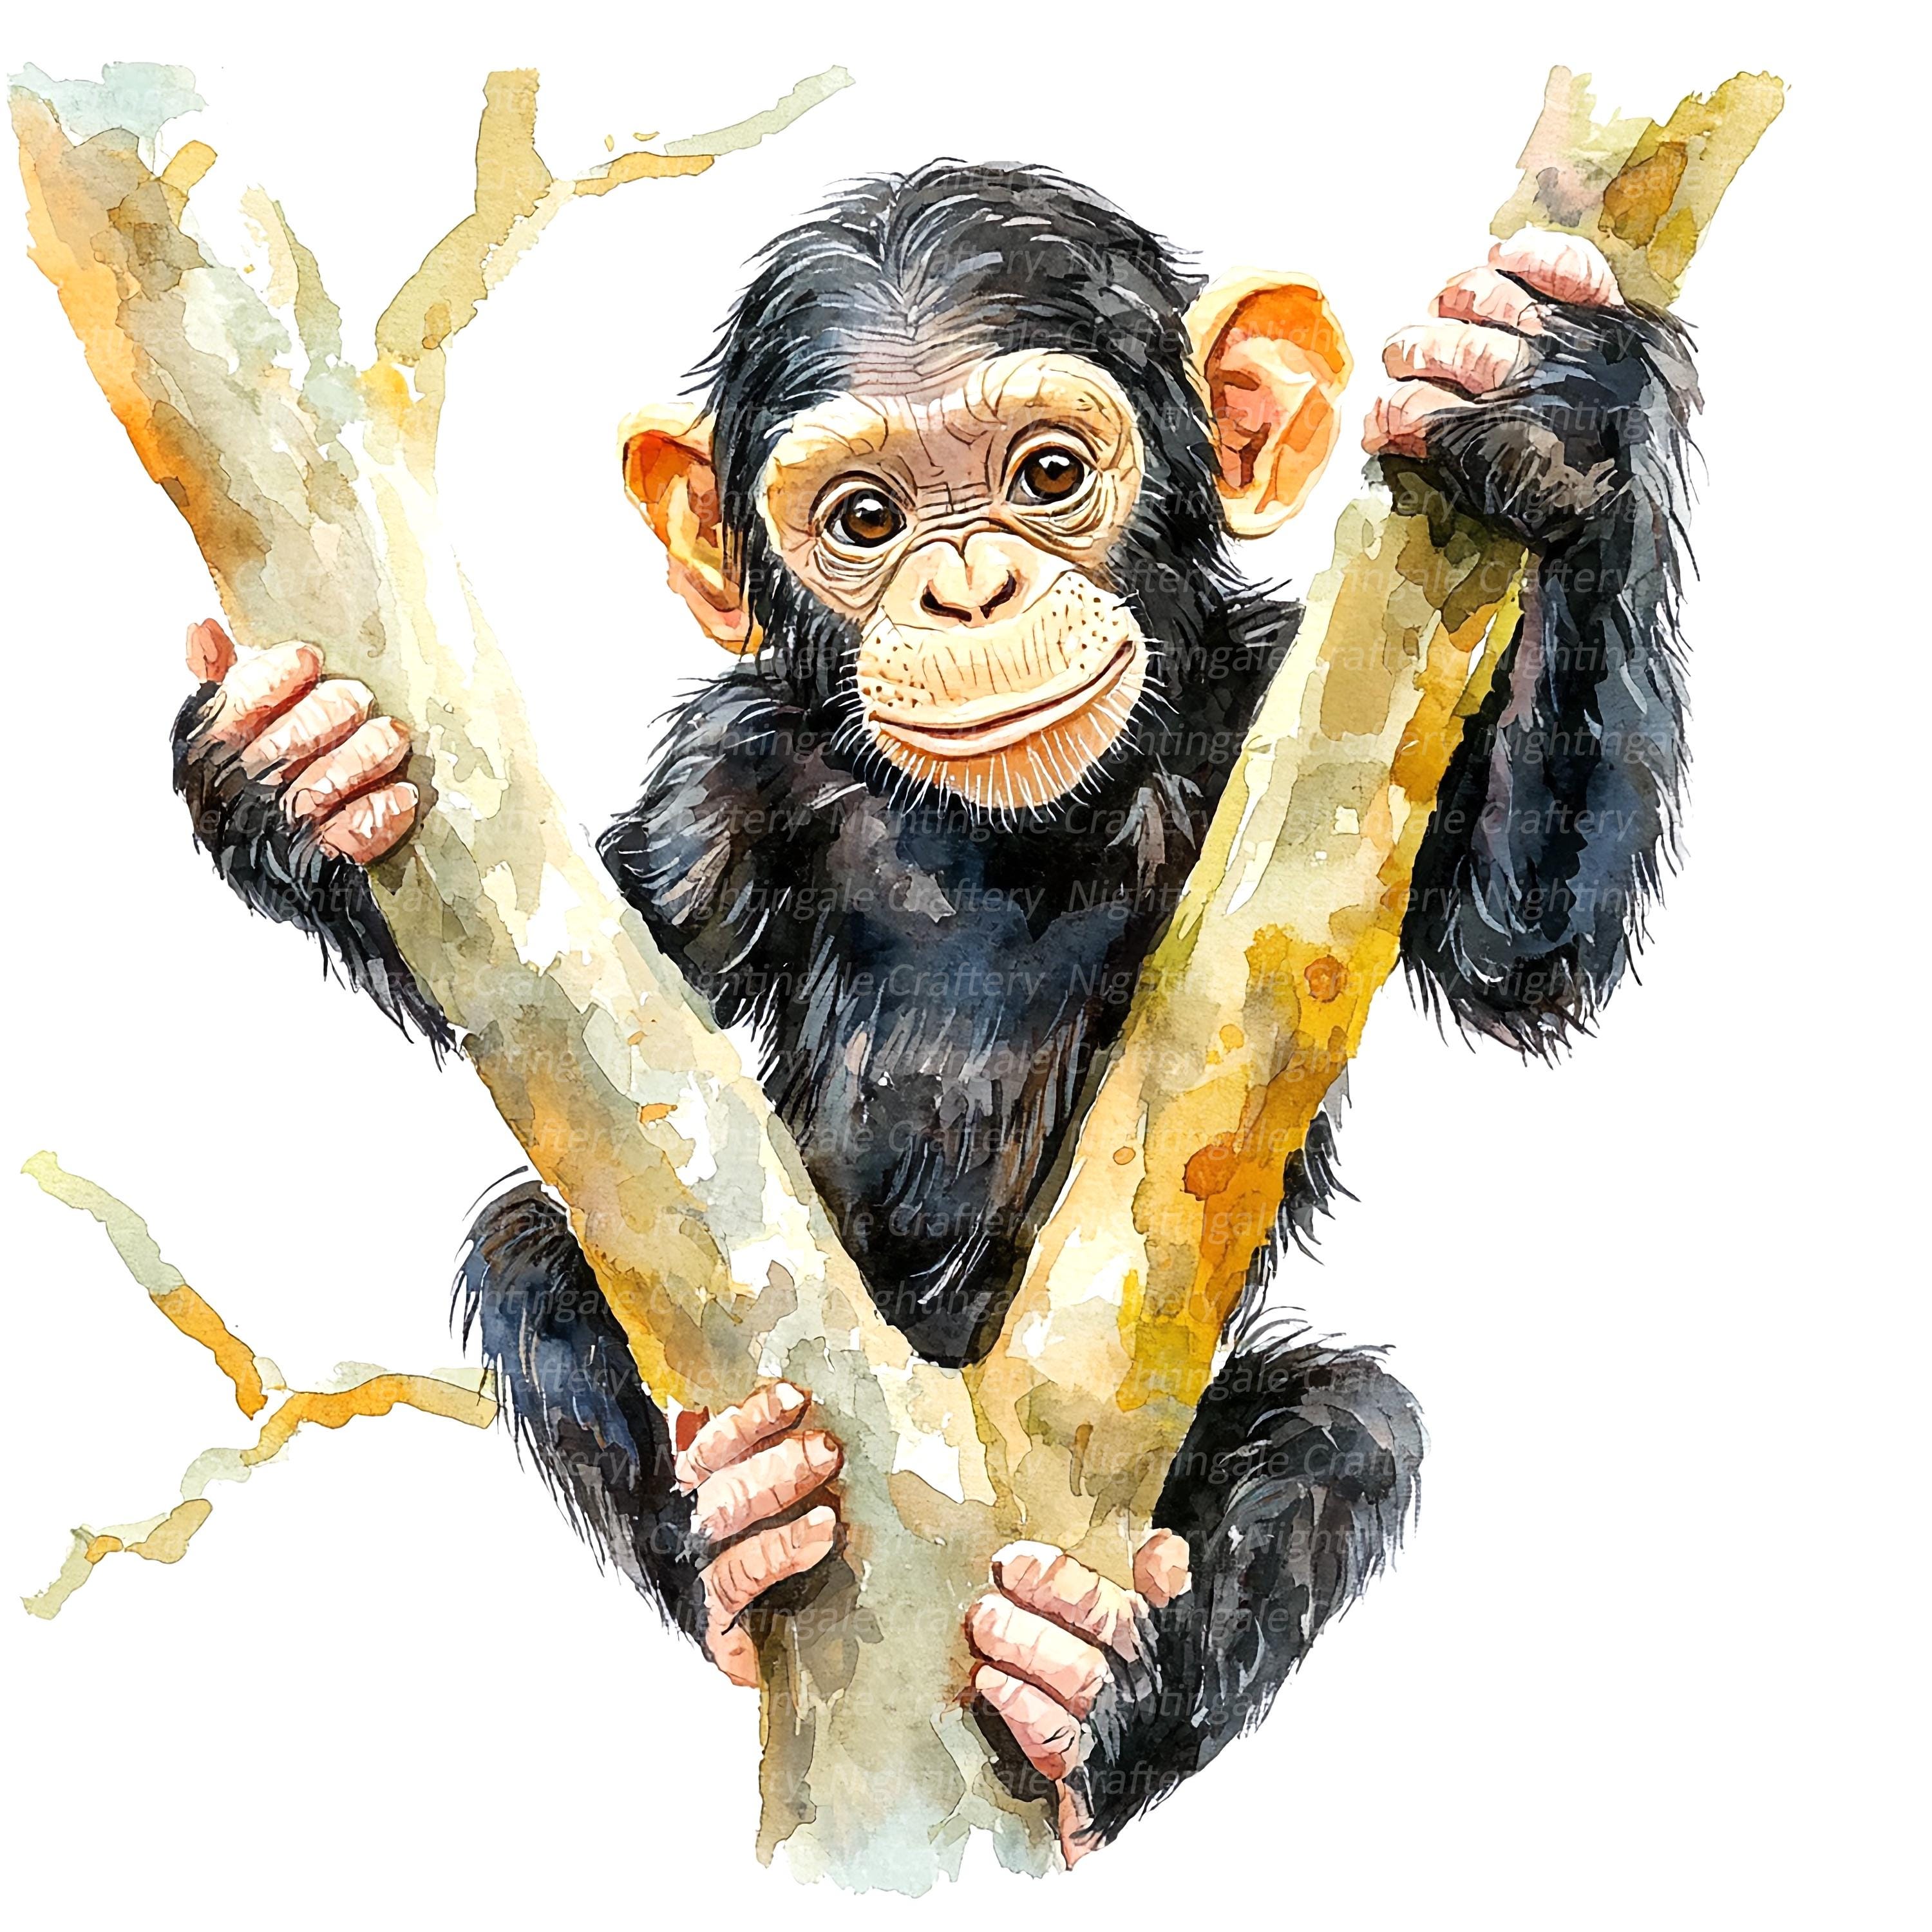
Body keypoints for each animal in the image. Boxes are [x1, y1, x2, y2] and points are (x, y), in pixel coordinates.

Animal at [171, 163, 1697, 1860]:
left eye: (1048, 475)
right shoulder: (729, 767)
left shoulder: (1282, 698)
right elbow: (614, 947)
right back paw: (742, 1530)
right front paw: (285, 764)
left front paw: (1559, 410)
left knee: (1345, 1430)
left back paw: (1082, 1690)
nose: (966, 586)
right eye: (864, 519)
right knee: (526, 1257)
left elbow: (1516, 948)